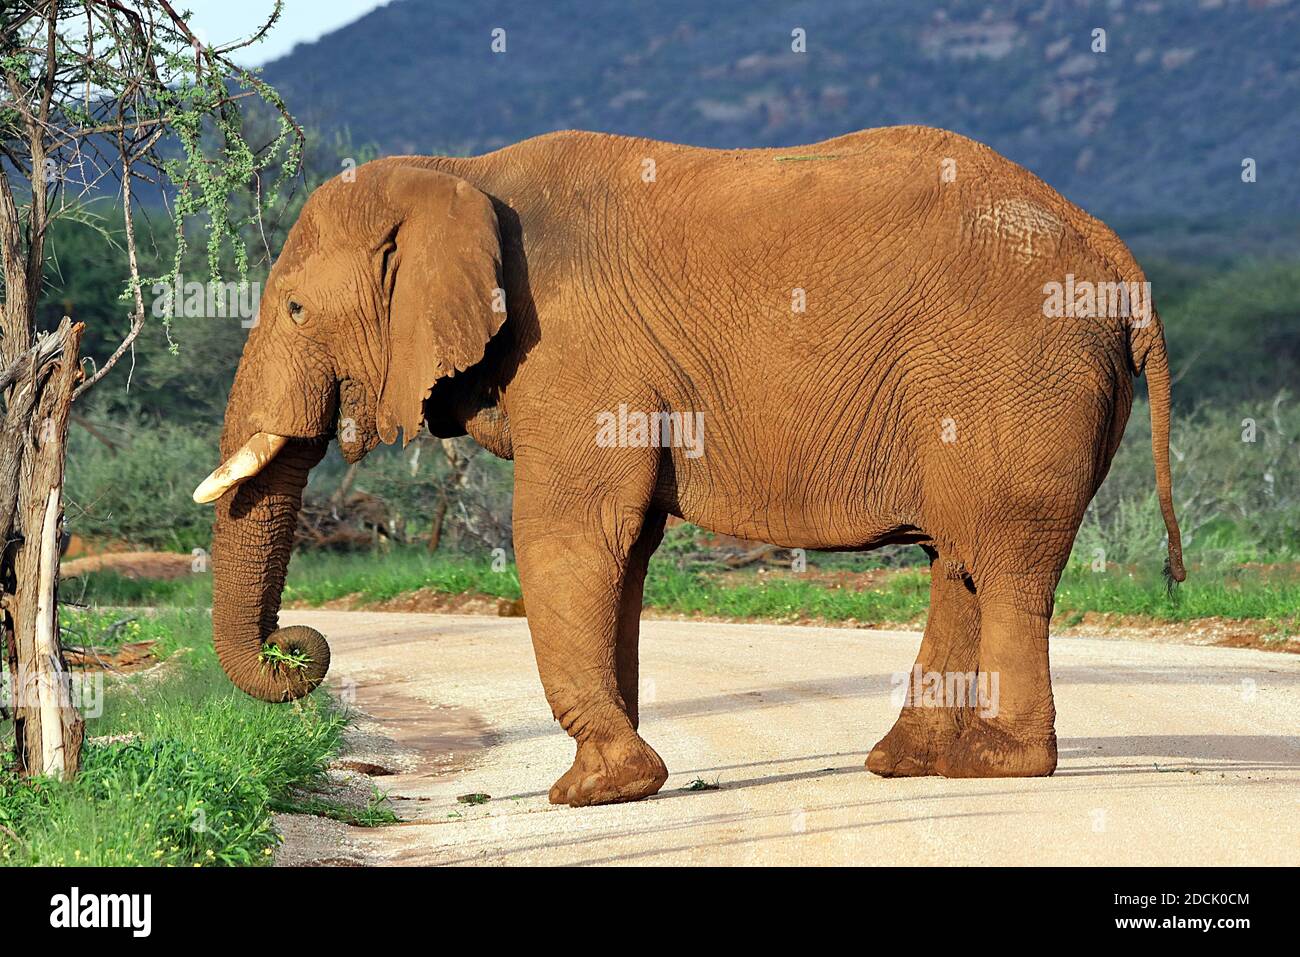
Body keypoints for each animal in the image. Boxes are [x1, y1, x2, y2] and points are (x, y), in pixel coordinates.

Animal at [194, 126, 1184, 806]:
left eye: (292, 309)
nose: (299, 645)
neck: (460, 170)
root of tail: (1117, 257)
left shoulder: (577, 350)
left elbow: (567, 536)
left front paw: (592, 790)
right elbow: (624, 550)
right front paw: (623, 774)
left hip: (1020, 377)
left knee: (1007, 559)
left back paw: (995, 762)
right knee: (962, 560)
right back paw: (906, 762)